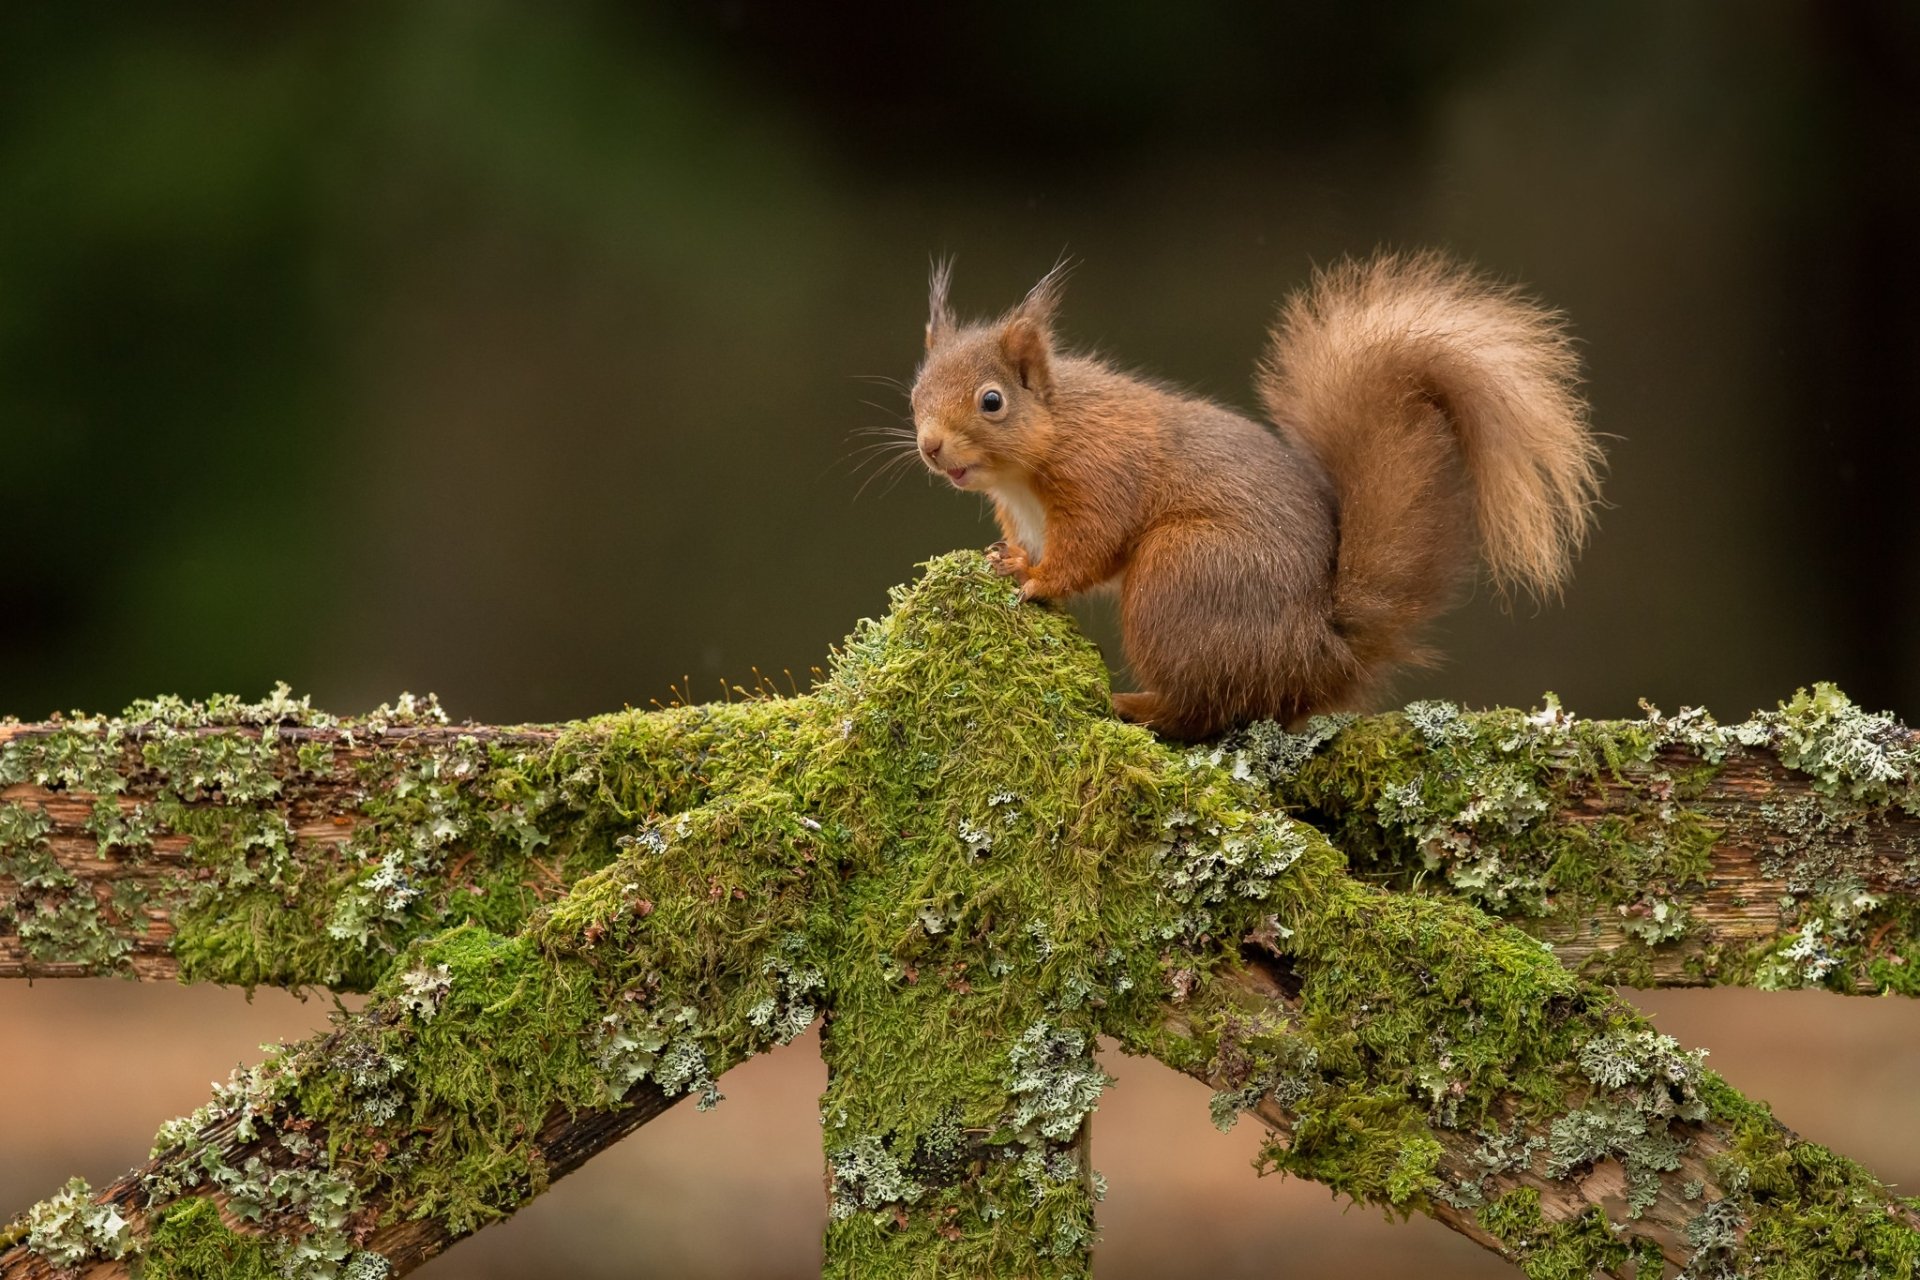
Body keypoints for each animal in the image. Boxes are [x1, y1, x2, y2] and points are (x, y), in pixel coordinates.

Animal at [907, 251, 1604, 740]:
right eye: (917, 389)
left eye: (992, 401)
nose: (931, 446)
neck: (1043, 444)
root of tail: (1321, 653)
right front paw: (1009, 558)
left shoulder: (1103, 475)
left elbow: (1090, 549)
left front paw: (1036, 580)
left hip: (1181, 573)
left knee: (1204, 710)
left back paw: (1132, 704)